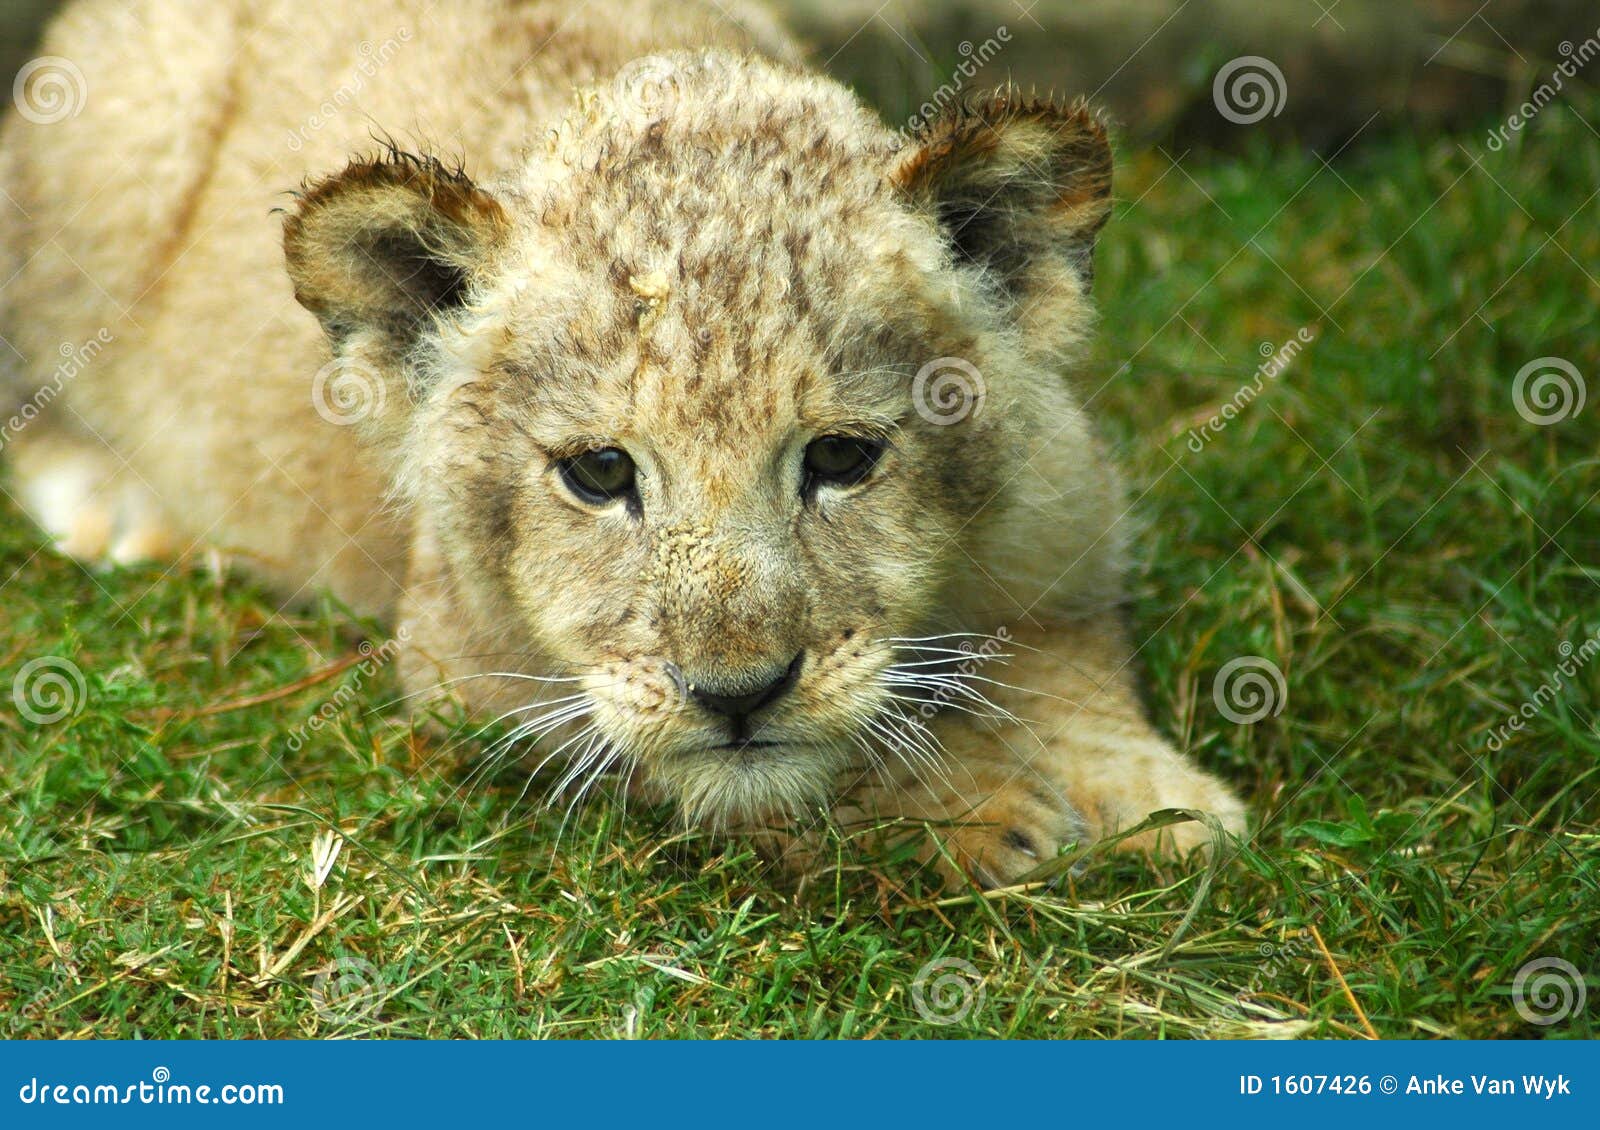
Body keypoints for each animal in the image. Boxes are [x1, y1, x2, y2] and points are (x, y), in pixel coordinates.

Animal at [1, 0, 1244, 887]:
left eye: (841, 460)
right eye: (600, 473)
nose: (736, 693)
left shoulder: (1068, 511)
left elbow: (1072, 658)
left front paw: (1164, 803)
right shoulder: (465, 674)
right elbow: (792, 776)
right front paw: (981, 809)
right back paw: (116, 505)